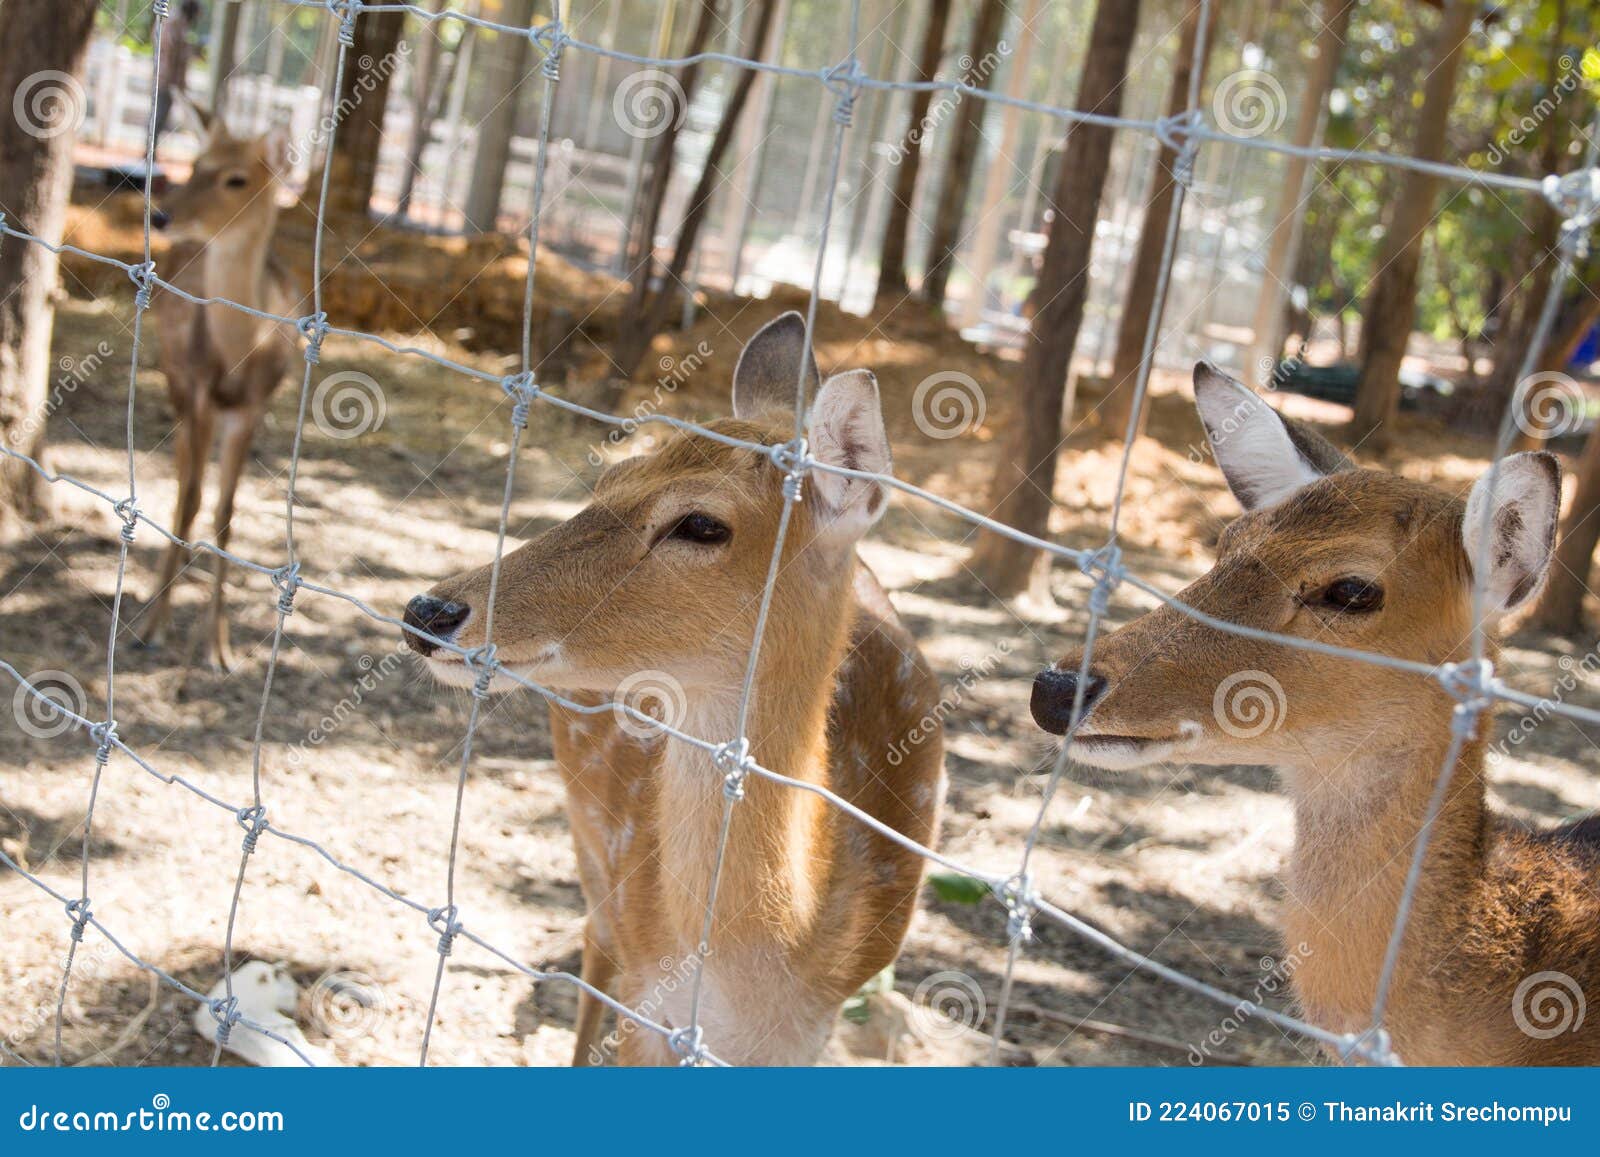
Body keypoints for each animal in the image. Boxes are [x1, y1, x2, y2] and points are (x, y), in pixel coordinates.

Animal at [137, 113, 301, 673]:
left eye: (236, 178)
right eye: (194, 165)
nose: (162, 214)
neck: (237, 360)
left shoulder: (253, 408)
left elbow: (227, 515)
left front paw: (219, 648)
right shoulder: (201, 393)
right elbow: (191, 497)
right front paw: (155, 626)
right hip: (174, 376)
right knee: (183, 468)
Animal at [401, 314, 946, 1065]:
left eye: (703, 524)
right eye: (612, 475)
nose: (428, 611)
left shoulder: (816, 1025)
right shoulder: (646, 992)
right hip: (588, 832)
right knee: (595, 941)